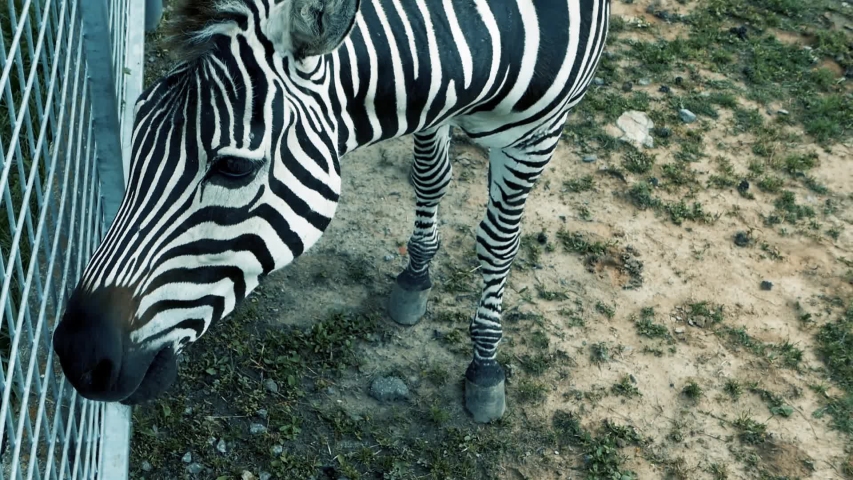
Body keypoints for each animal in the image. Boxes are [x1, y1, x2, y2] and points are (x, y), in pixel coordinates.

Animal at [52, 0, 611, 423]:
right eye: (137, 128)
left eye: (233, 167)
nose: (77, 356)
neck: (478, 32)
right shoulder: (434, 99)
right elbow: (431, 177)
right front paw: (416, 275)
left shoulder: (539, 135)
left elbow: (498, 244)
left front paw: (486, 364)